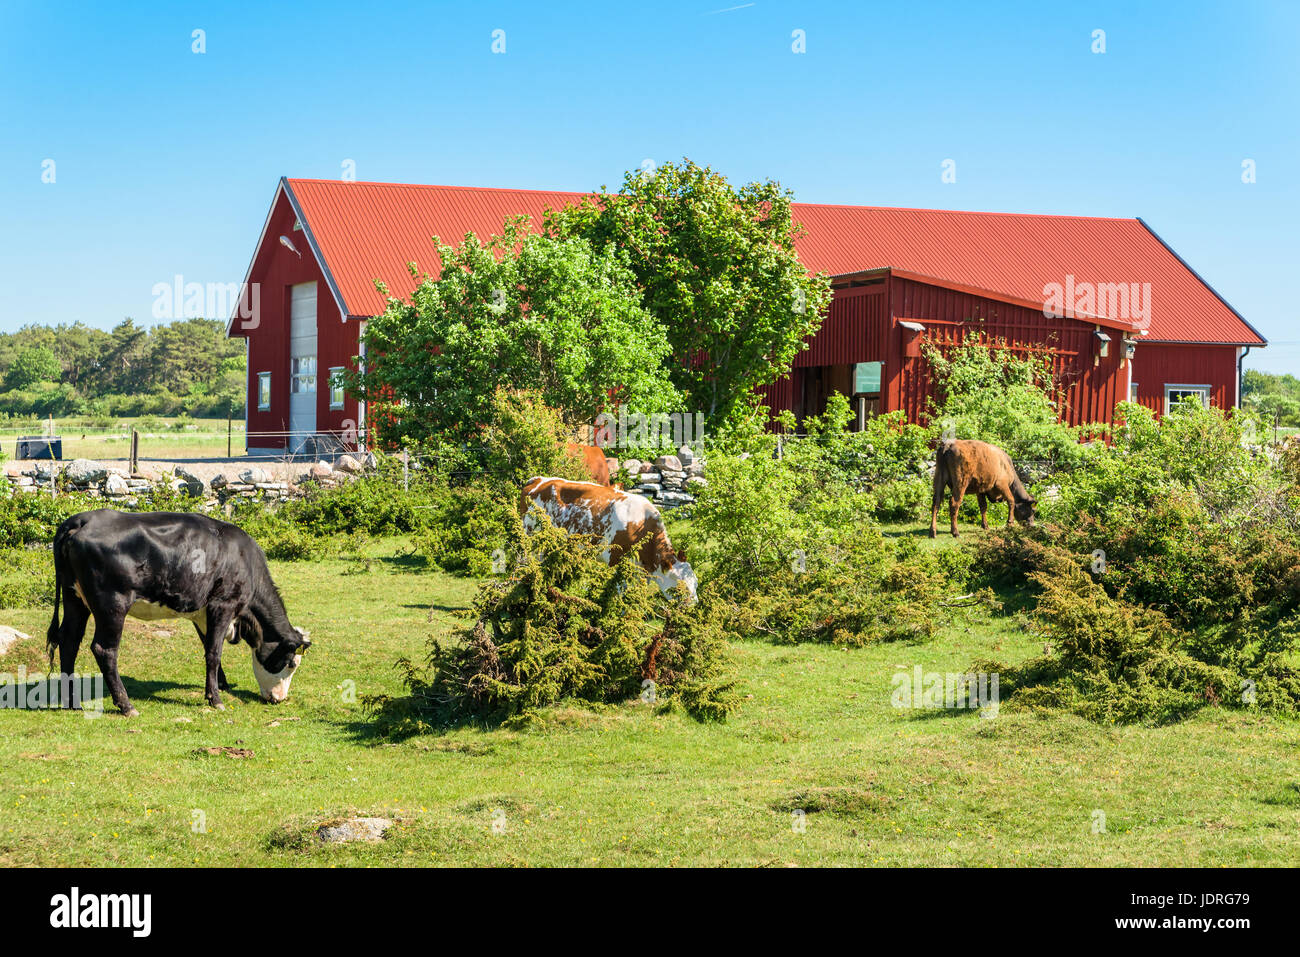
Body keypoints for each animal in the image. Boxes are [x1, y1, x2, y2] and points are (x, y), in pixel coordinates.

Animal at [47, 509, 312, 716]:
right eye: (291, 663)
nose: (279, 699)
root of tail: (81, 520)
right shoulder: (223, 605)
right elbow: (214, 652)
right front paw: (216, 699)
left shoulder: (202, 613)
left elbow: (209, 647)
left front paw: (220, 685)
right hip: (112, 604)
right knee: (104, 650)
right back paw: (126, 705)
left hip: (74, 598)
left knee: (69, 641)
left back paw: (72, 703)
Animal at [519, 477, 697, 600]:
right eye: (681, 588)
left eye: (695, 583)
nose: (693, 607)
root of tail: (538, 480)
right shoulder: (617, 562)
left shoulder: (642, 573)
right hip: (529, 536)